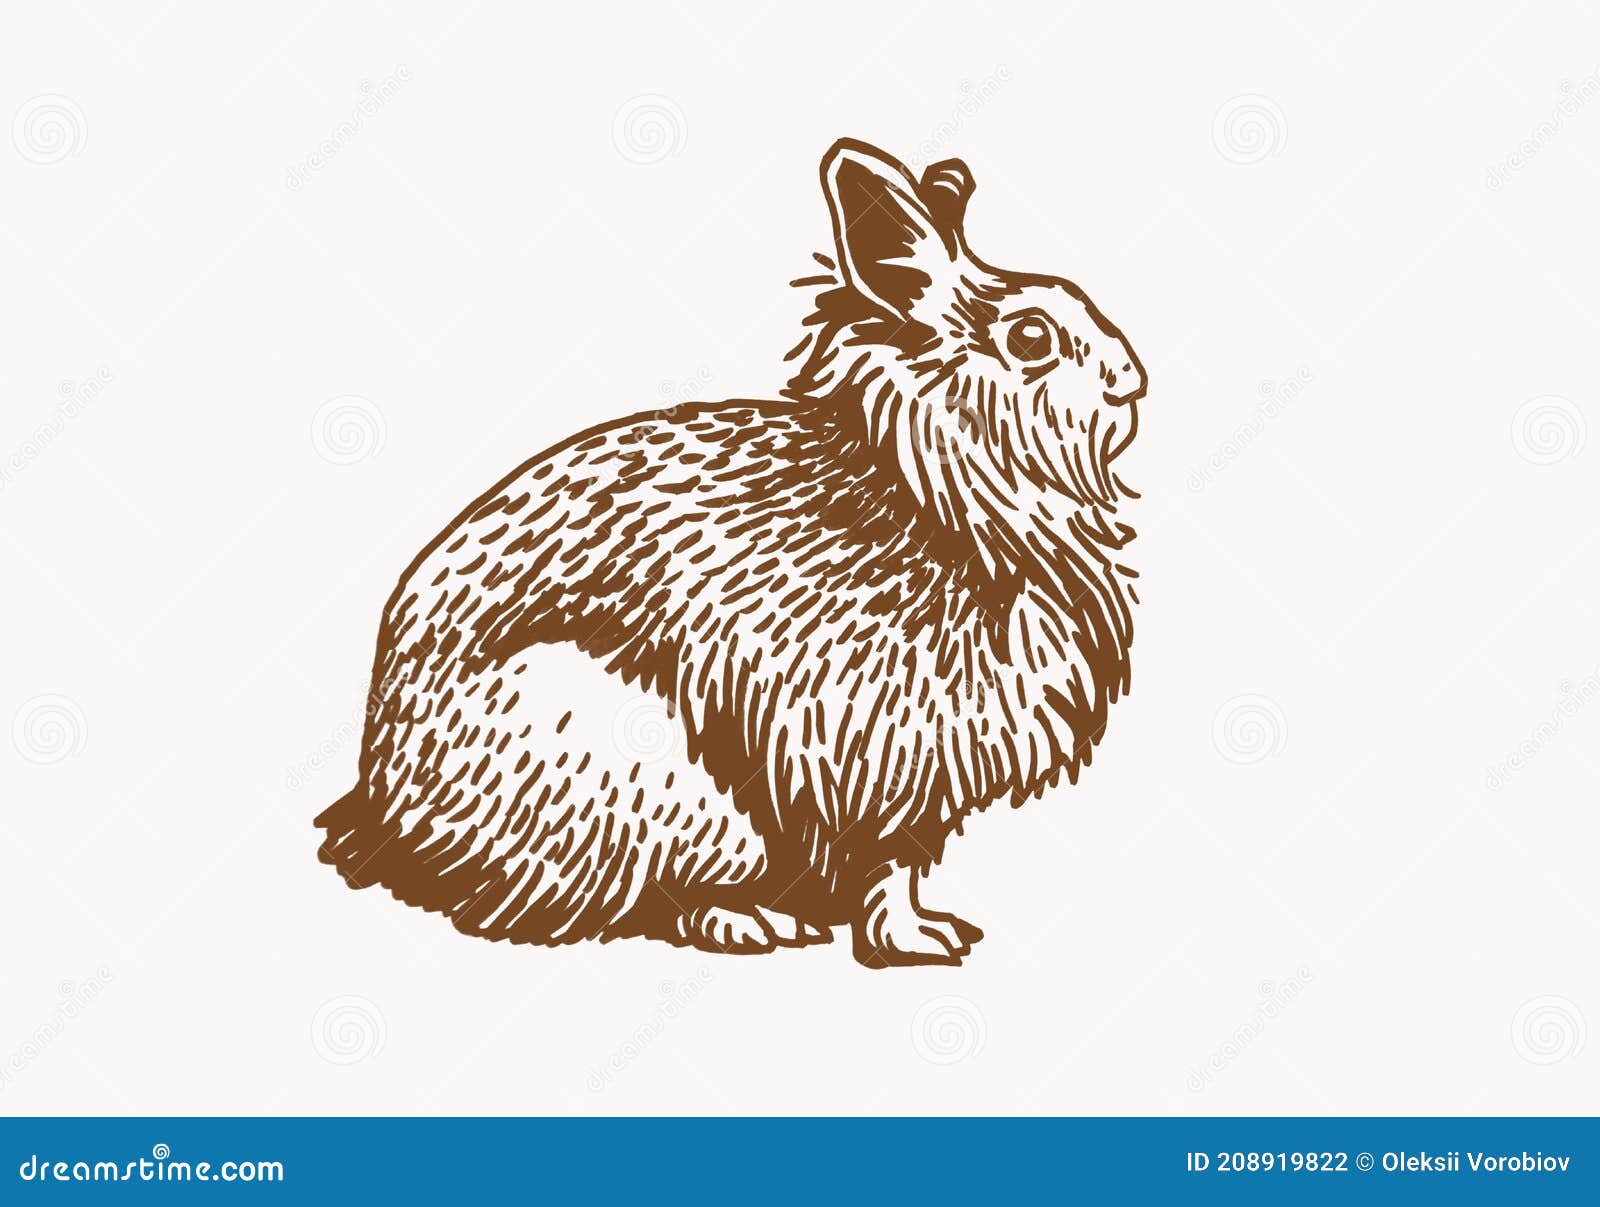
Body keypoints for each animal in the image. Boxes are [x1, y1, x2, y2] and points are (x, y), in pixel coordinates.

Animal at [316, 137, 1147, 967]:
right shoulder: (877, 757)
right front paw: (916, 941)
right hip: (656, 781)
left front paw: (927, 931)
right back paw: (751, 922)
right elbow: (888, 864)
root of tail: (386, 807)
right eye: (1031, 336)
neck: (929, 493)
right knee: (657, 887)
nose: (1131, 379)